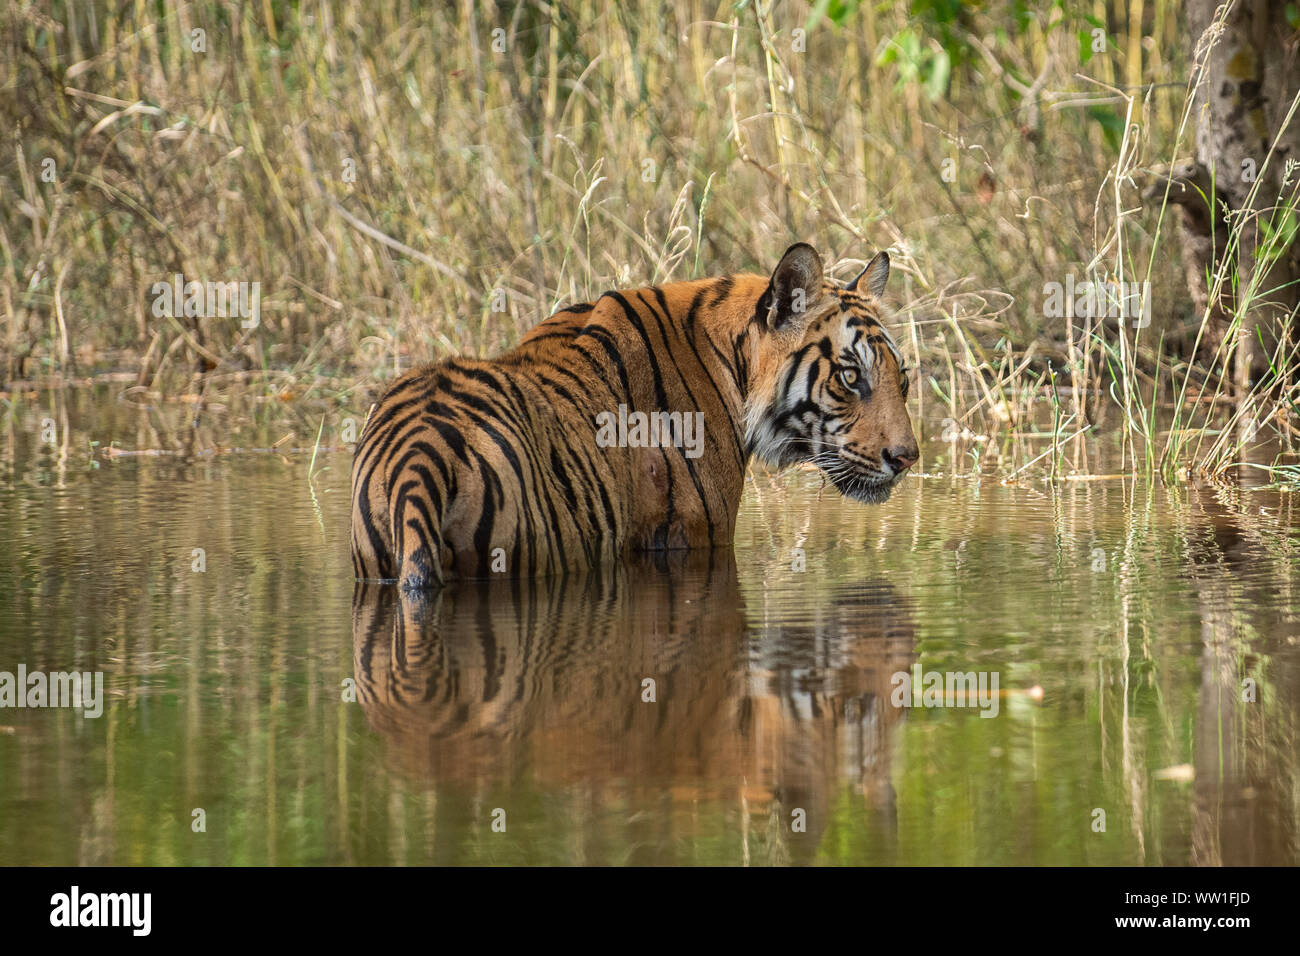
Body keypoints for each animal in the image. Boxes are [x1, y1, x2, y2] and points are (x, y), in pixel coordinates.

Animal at [351, 242, 918, 589]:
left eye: (904, 379)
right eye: (851, 377)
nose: (907, 458)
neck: (731, 362)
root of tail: (418, 459)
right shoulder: (699, 537)